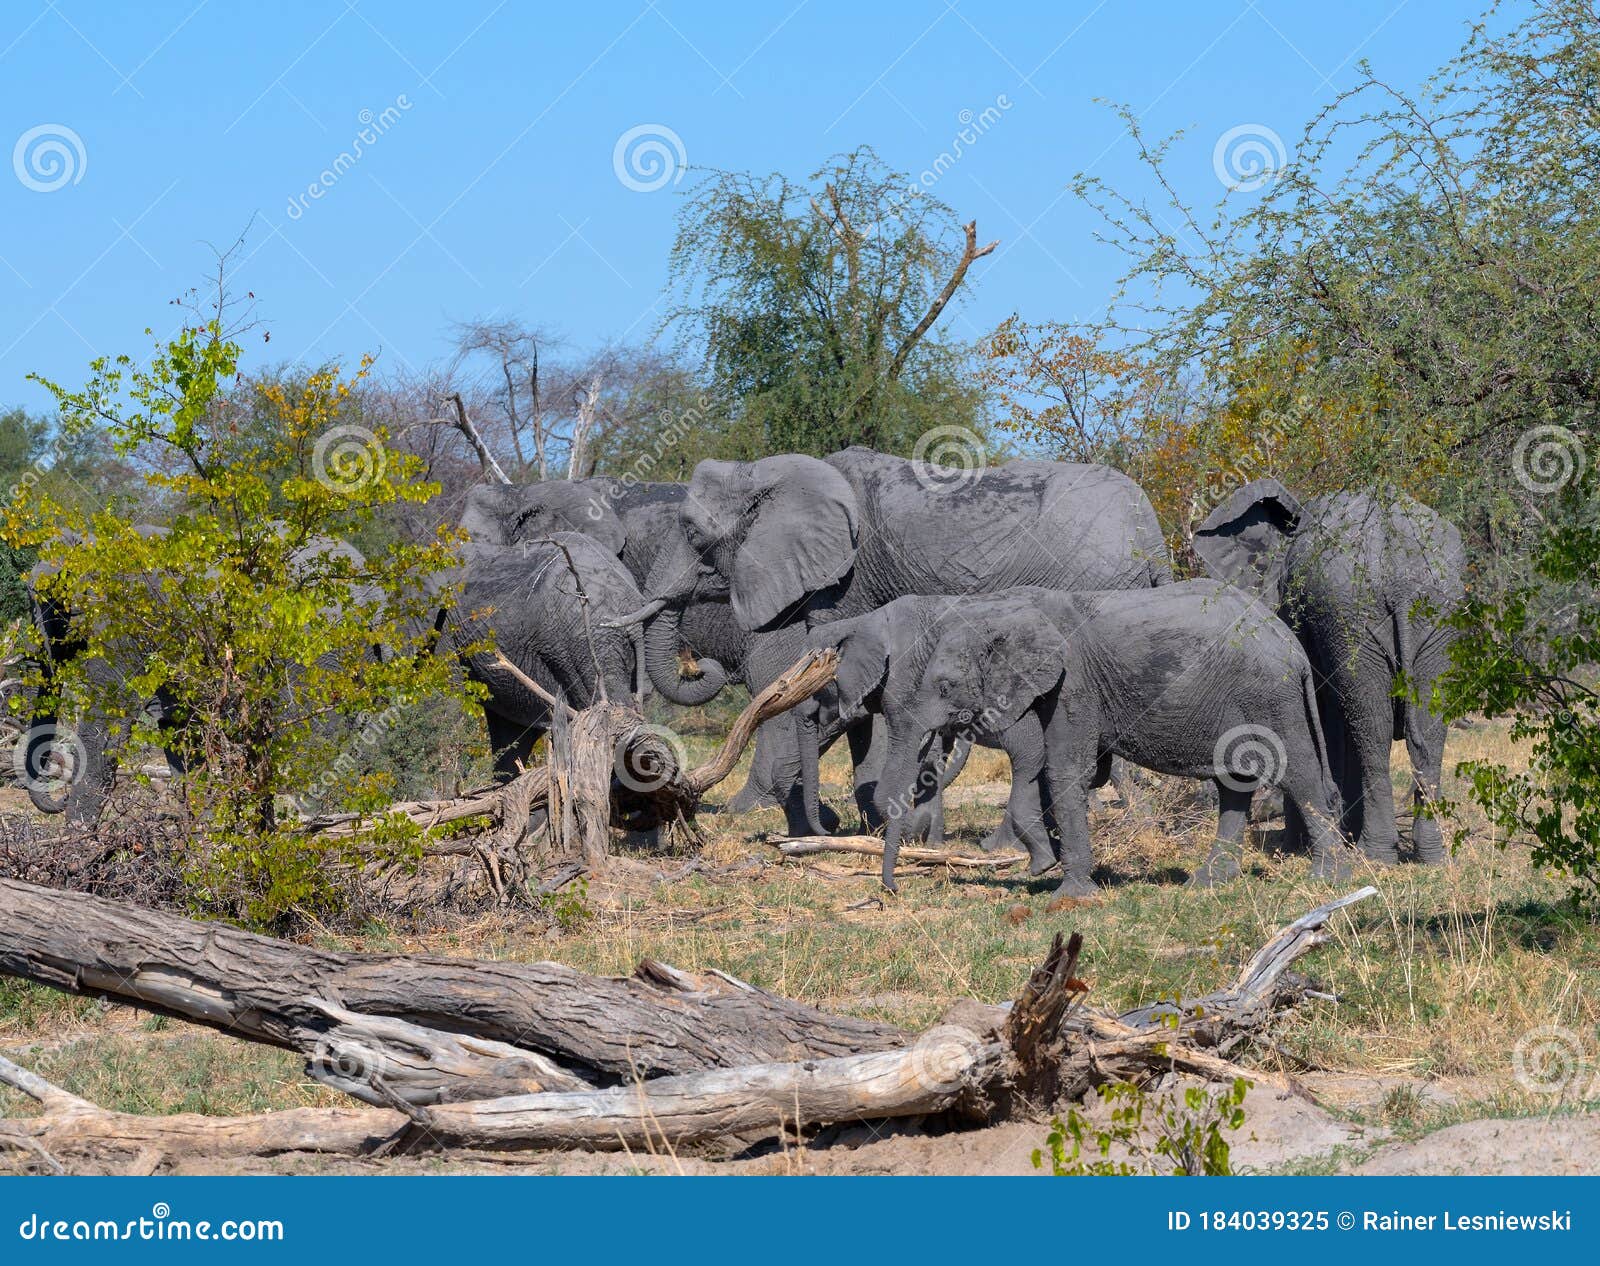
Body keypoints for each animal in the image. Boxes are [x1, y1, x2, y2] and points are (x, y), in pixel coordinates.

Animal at [812, 581, 1349, 895]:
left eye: (945, 686)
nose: (892, 891)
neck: (1003, 614)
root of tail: (1290, 643)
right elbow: (1051, 768)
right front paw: (1042, 870)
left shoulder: (1074, 685)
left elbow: (1064, 769)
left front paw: (1067, 894)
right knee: (1234, 784)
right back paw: (1207, 883)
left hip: (1269, 695)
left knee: (1297, 773)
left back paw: (1327, 878)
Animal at [1191, 480, 1465, 864]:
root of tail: (1399, 574)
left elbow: (1318, 717)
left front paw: (1295, 847)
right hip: (1433, 610)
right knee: (1424, 722)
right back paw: (1432, 857)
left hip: (1356, 613)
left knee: (1373, 725)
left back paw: (1374, 855)